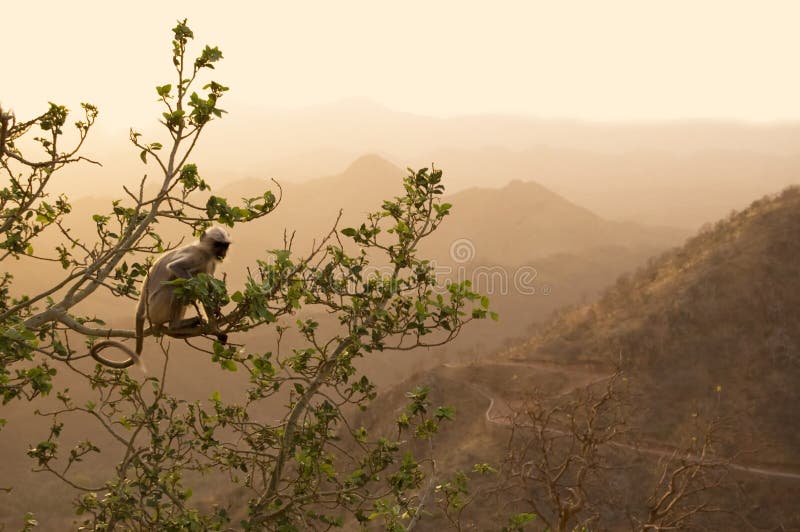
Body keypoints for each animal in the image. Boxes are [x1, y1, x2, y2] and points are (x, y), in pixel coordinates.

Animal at [90, 226, 231, 369]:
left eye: (225, 246)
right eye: (217, 244)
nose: (223, 253)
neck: (205, 251)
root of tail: (142, 307)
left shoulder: (211, 262)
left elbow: (209, 284)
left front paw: (216, 312)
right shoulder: (198, 257)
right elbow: (176, 268)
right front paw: (214, 328)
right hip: (155, 308)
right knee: (176, 286)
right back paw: (175, 325)